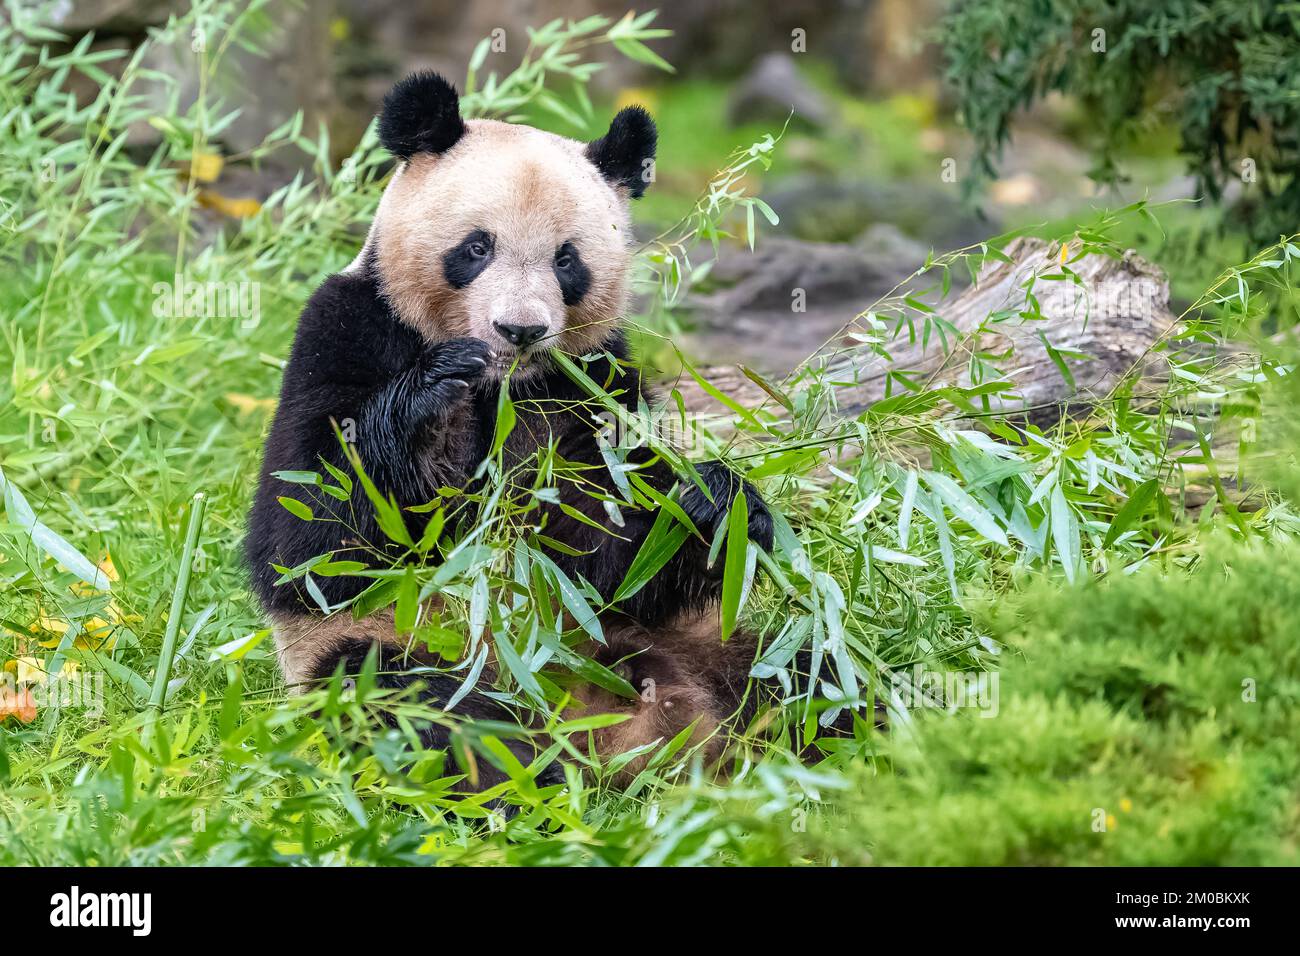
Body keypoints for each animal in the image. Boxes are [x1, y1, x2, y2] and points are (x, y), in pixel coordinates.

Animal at [246, 72, 823, 789]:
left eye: (567, 260)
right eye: (476, 247)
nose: (519, 330)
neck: (503, 387)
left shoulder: (591, 383)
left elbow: (611, 550)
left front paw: (711, 505)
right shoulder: (345, 330)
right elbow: (312, 534)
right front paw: (432, 404)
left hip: (710, 645)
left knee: (814, 679)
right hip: (401, 645)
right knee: (410, 704)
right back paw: (513, 782)